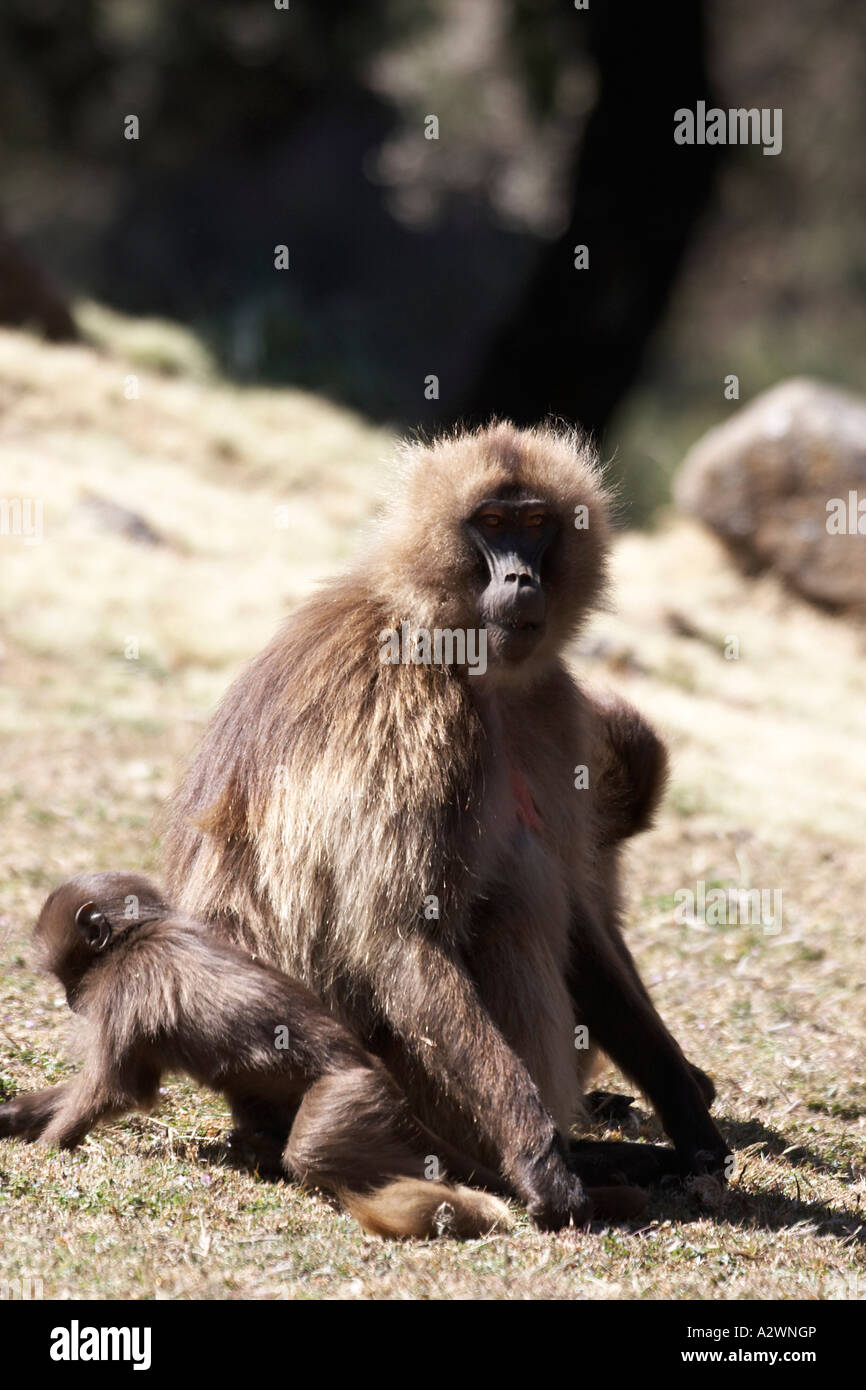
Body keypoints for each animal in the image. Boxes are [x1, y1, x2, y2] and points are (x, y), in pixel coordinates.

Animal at [0, 872, 648, 1237]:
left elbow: (119, 1088)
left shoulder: (124, 987)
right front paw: (13, 1117)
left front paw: (49, 1147)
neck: (138, 937)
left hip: (350, 1091)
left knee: (313, 1152)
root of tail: (377, 1072)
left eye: (68, 978)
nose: (70, 1000)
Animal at [163, 422, 731, 1230]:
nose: (521, 580)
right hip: (395, 1084)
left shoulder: (555, 714)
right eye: (490, 524)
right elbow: (401, 935)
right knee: (507, 902)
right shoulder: (414, 712)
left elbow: (580, 922)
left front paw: (688, 1113)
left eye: (536, 523)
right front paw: (542, 1162)